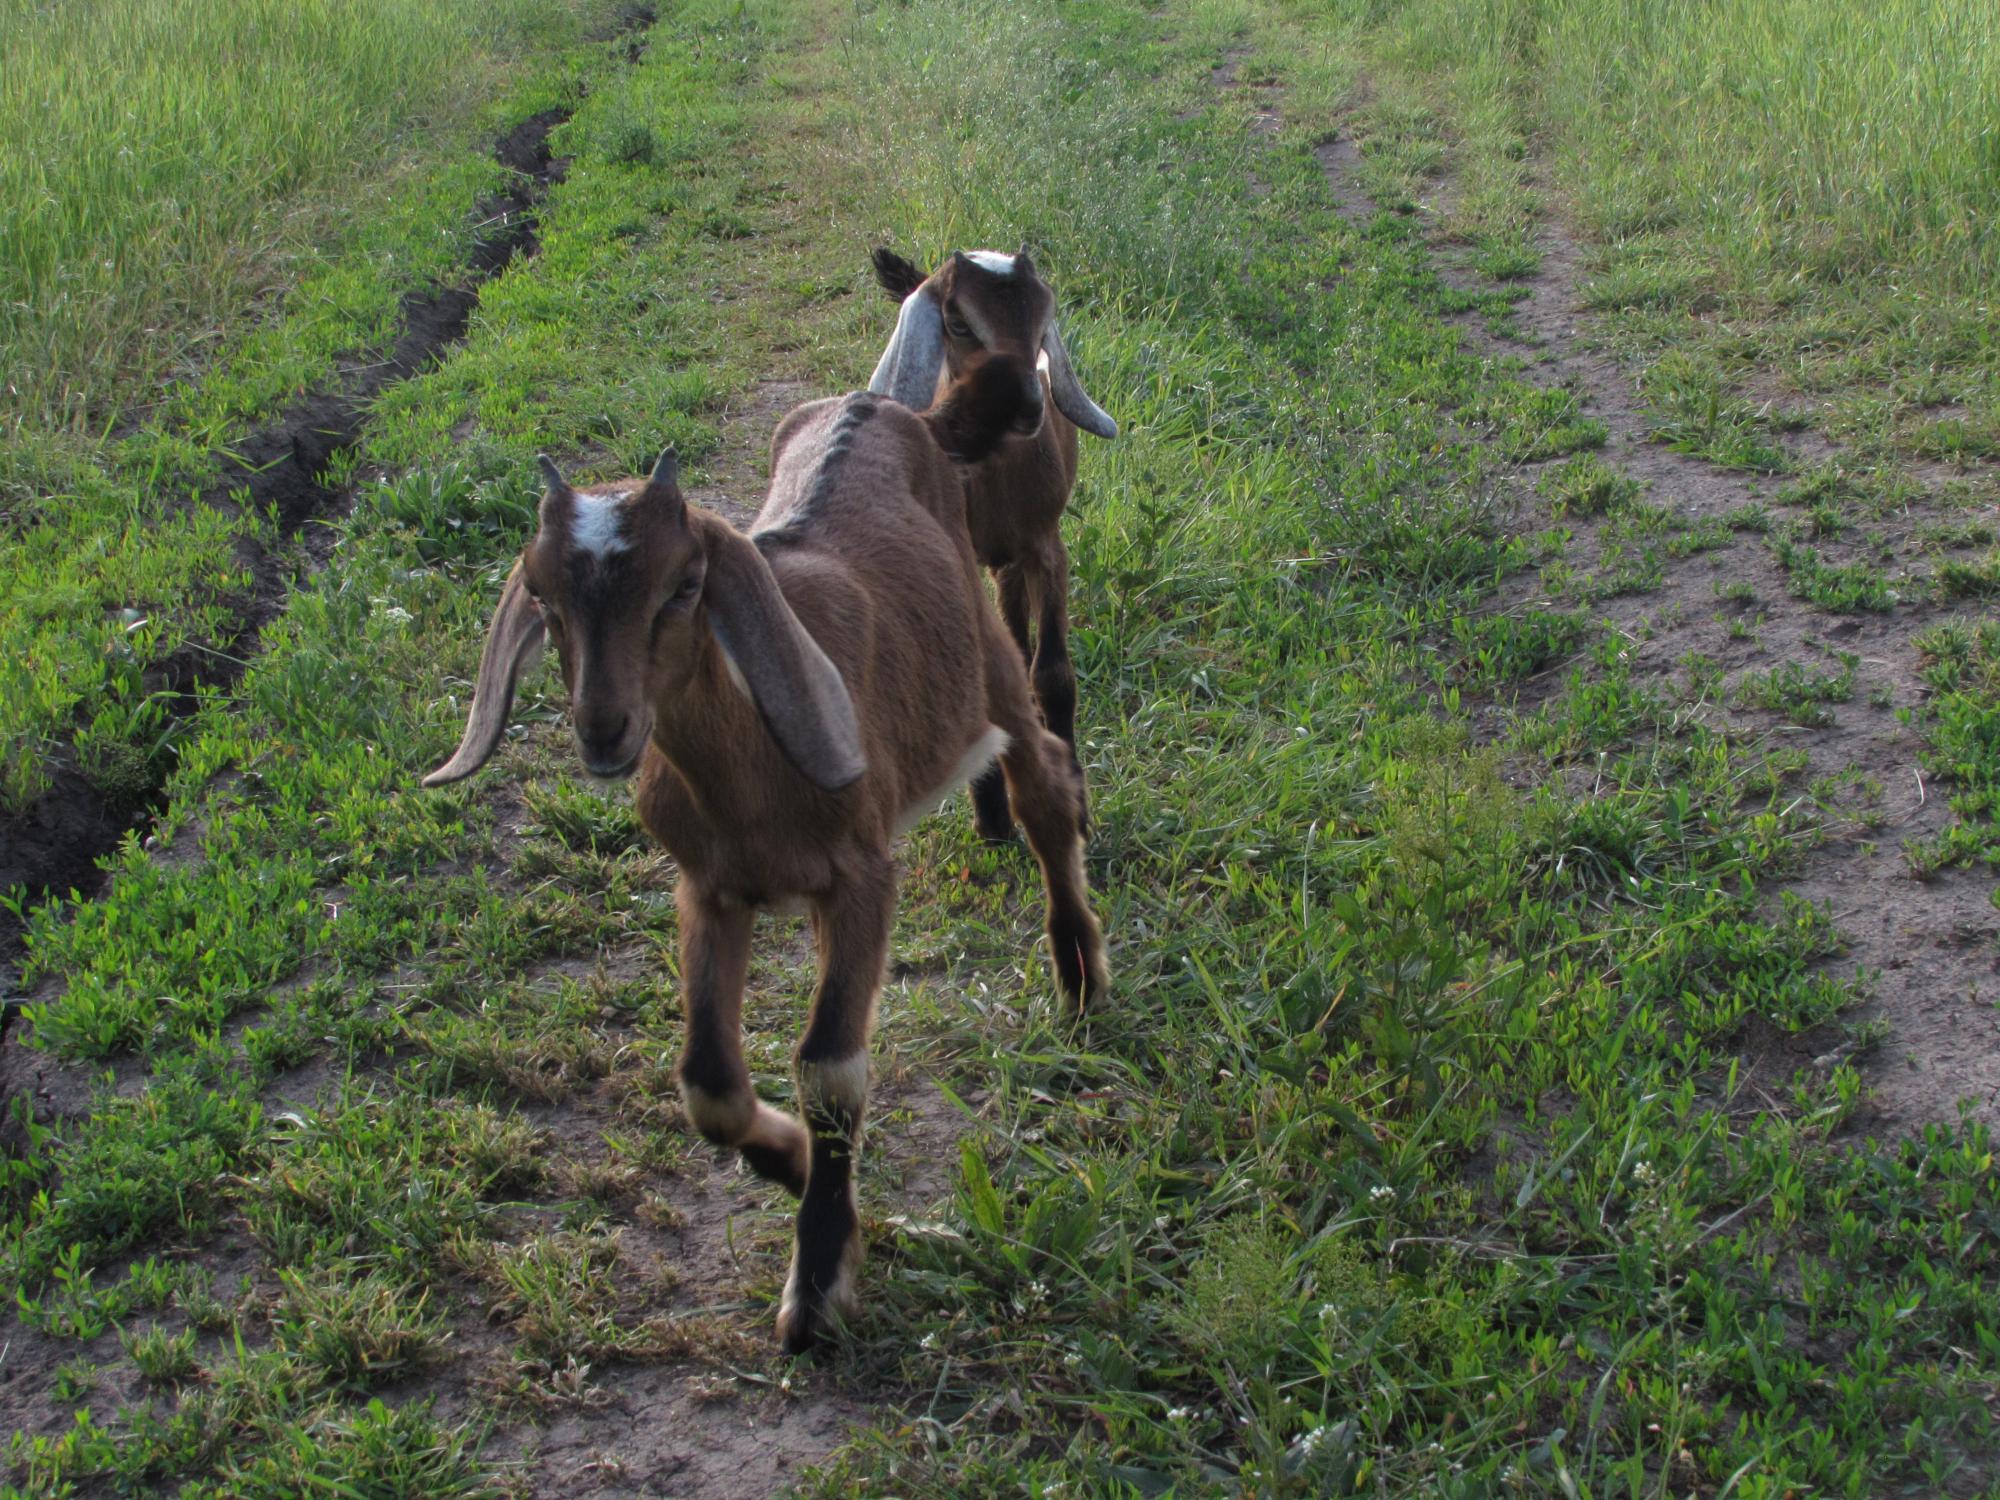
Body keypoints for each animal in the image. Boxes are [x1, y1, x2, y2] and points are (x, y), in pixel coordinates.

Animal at [426, 356, 1112, 1360]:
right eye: (543, 598)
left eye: (683, 586)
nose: (605, 730)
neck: (753, 762)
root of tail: (896, 410)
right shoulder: (710, 889)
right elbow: (707, 1083)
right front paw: (793, 1163)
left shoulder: (863, 874)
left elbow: (830, 1066)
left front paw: (820, 1280)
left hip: (984, 659)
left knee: (1046, 785)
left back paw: (1080, 974)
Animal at [868, 253, 1120, 852]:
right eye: (959, 323)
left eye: (1043, 319)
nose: (1028, 404)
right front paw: (991, 817)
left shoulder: (1046, 545)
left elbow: (1052, 674)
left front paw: (1075, 809)